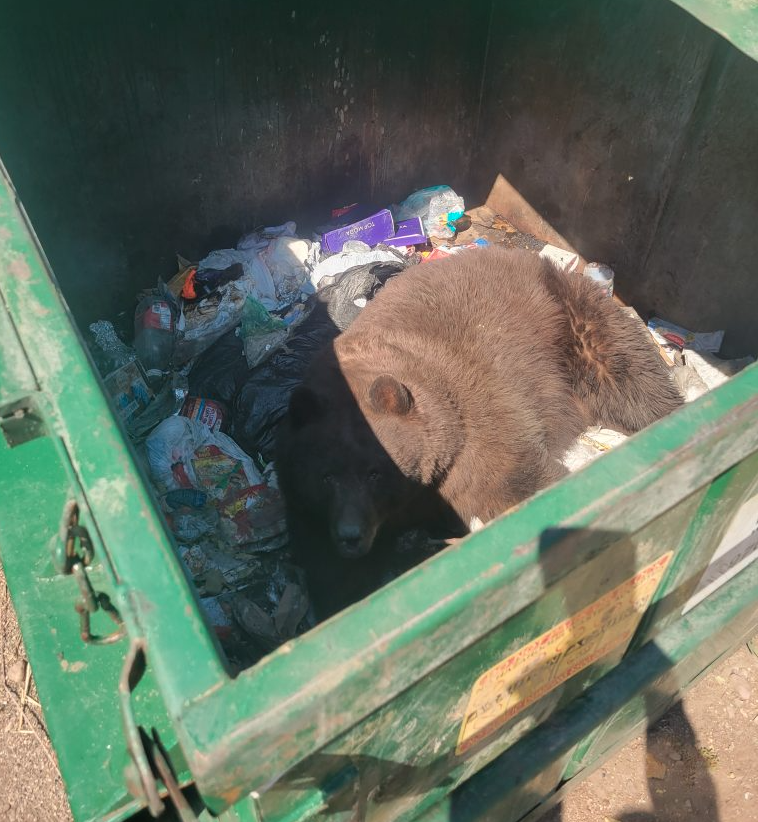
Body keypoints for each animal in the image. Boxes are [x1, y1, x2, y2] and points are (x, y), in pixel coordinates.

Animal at [275, 247, 683, 617]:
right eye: (326, 476)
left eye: (375, 472)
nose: (351, 536)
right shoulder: (306, 503)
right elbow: (329, 570)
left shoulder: (476, 427)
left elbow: (516, 481)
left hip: (572, 324)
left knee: (628, 376)